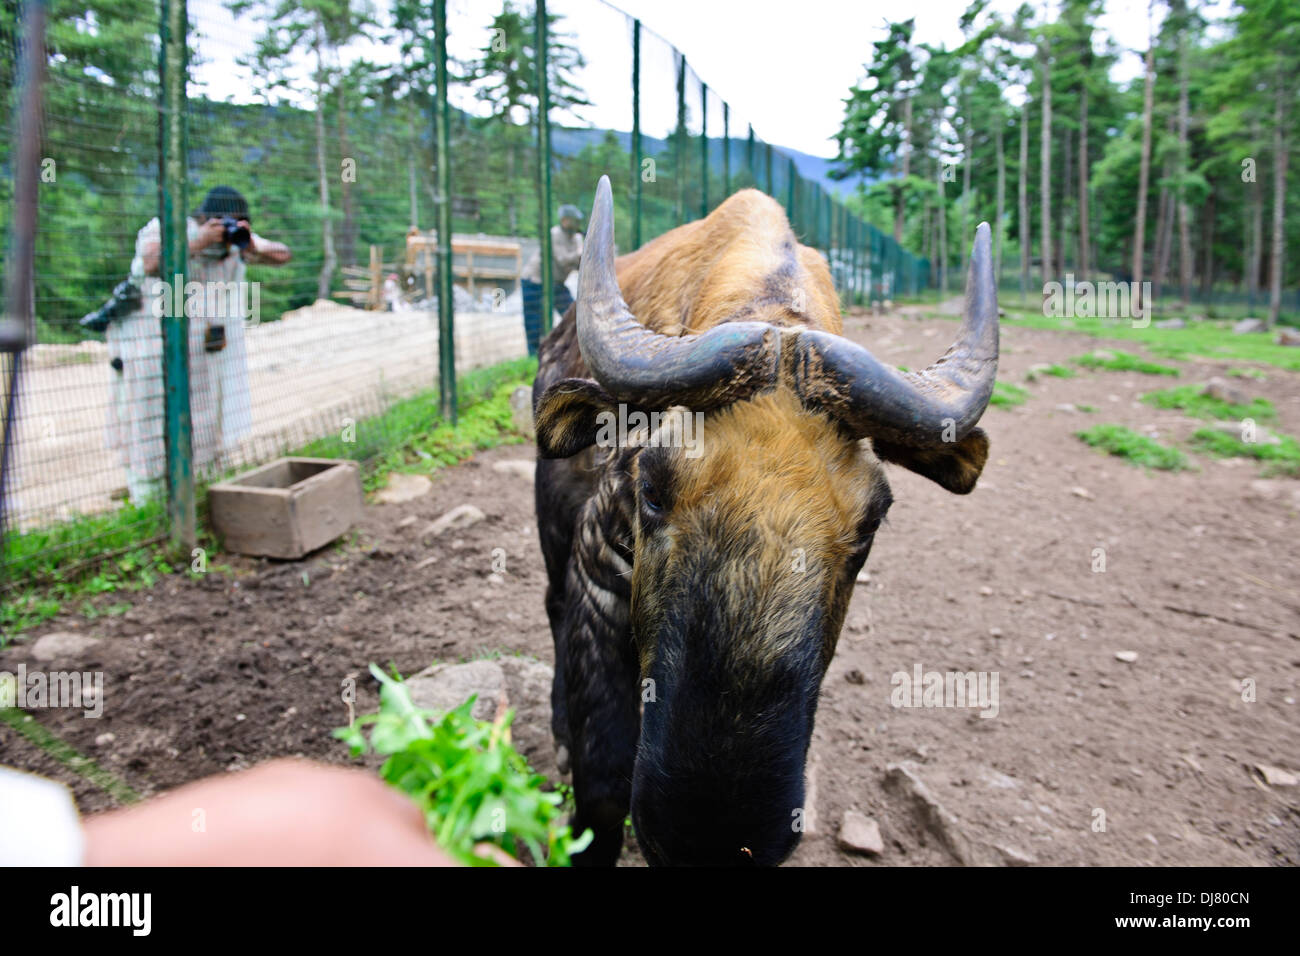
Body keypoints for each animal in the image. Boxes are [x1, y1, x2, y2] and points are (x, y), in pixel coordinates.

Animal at [533, 175, 998, 866]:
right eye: (651, 488)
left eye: (871, 524)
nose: (717, 839)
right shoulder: (598, 575)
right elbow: (604, 786)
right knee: (551, 606)